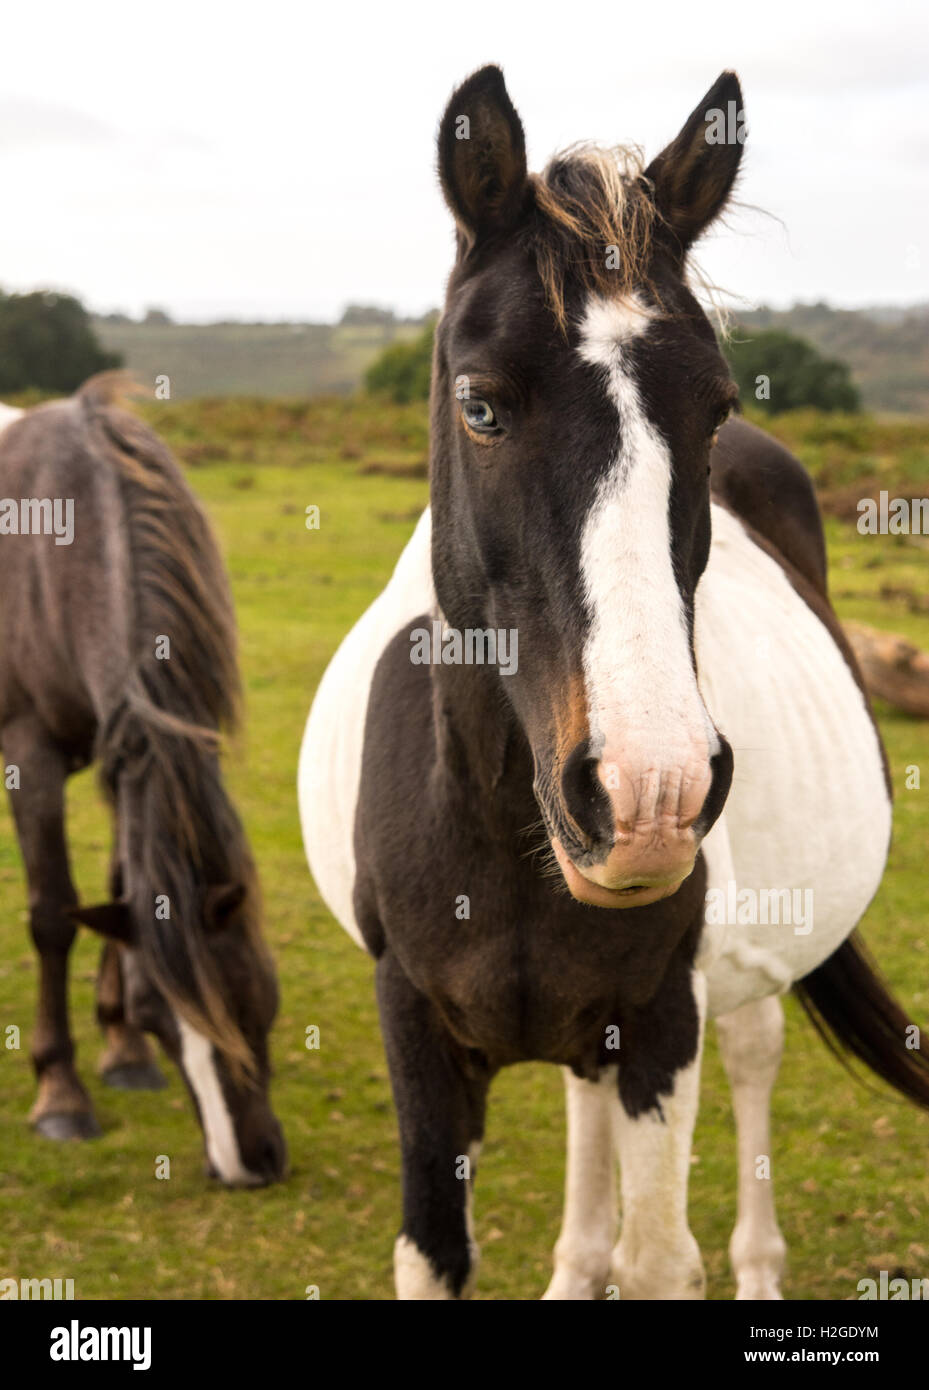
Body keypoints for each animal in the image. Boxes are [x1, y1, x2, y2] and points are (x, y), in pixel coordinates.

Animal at [0, 375, 286, 1187]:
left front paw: (121, 1054)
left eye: (257, 991)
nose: (246, 1164)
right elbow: (53, 914)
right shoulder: (29, 755)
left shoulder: (116, 746)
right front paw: (61, 1093)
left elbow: (119, 889)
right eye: (163, 1018)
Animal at [299, 64, 929, 1298]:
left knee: (752, 1059)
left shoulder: (658, 1018)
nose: (650, 789)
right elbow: (435, 1250)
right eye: (479, 404)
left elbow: (659, 1258)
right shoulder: (414, 1026)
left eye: (715, 407)